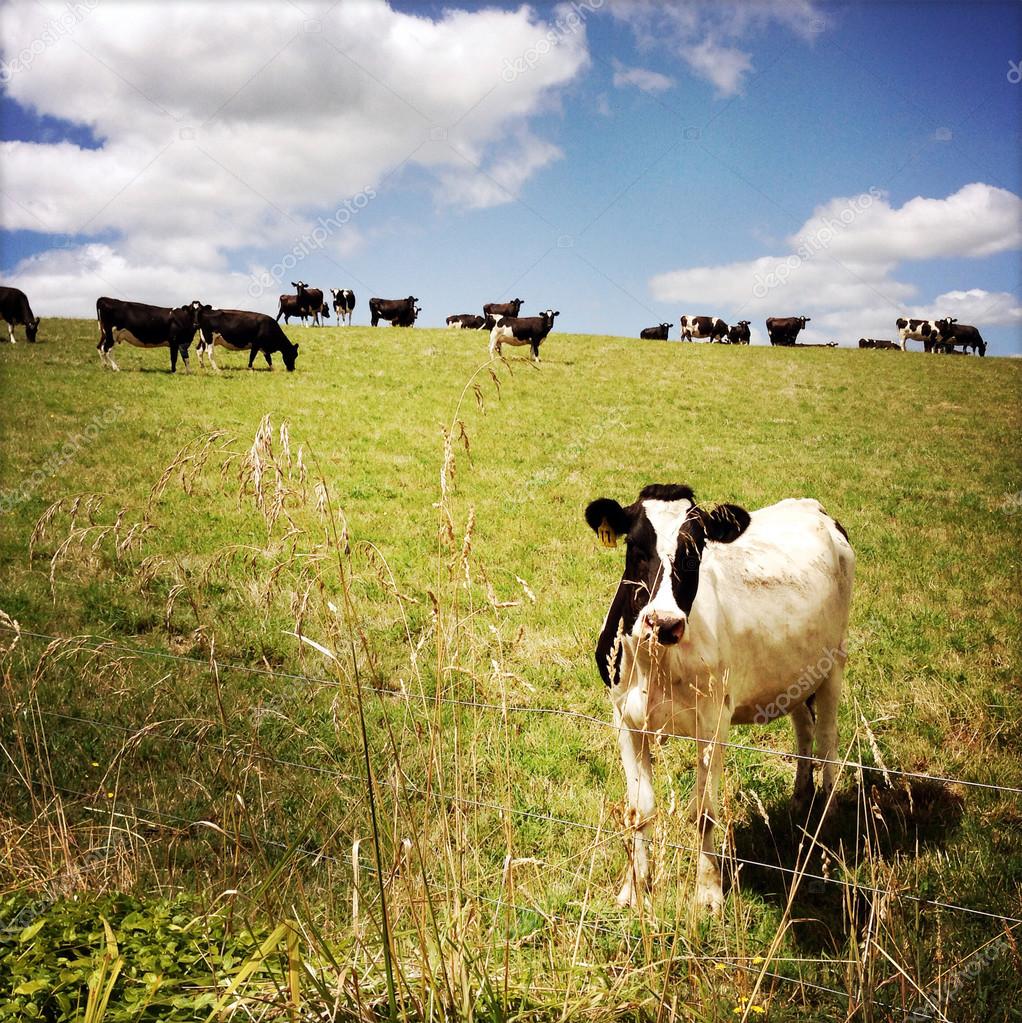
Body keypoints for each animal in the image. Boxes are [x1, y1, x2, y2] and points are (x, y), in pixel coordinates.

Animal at [584, 483, 854, 914]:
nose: (664, 622)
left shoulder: (713, 724)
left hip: (834, 667)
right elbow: (639, 810)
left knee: (829, 752)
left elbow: (704, 812)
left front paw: (708, 892)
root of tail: (813, 507)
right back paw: (799, 803)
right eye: (635, 547)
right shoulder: (625, 719)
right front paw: (633, 888)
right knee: (804, 731)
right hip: (795, 674)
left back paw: (823, 854)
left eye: (694, 550)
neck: (657, 661)